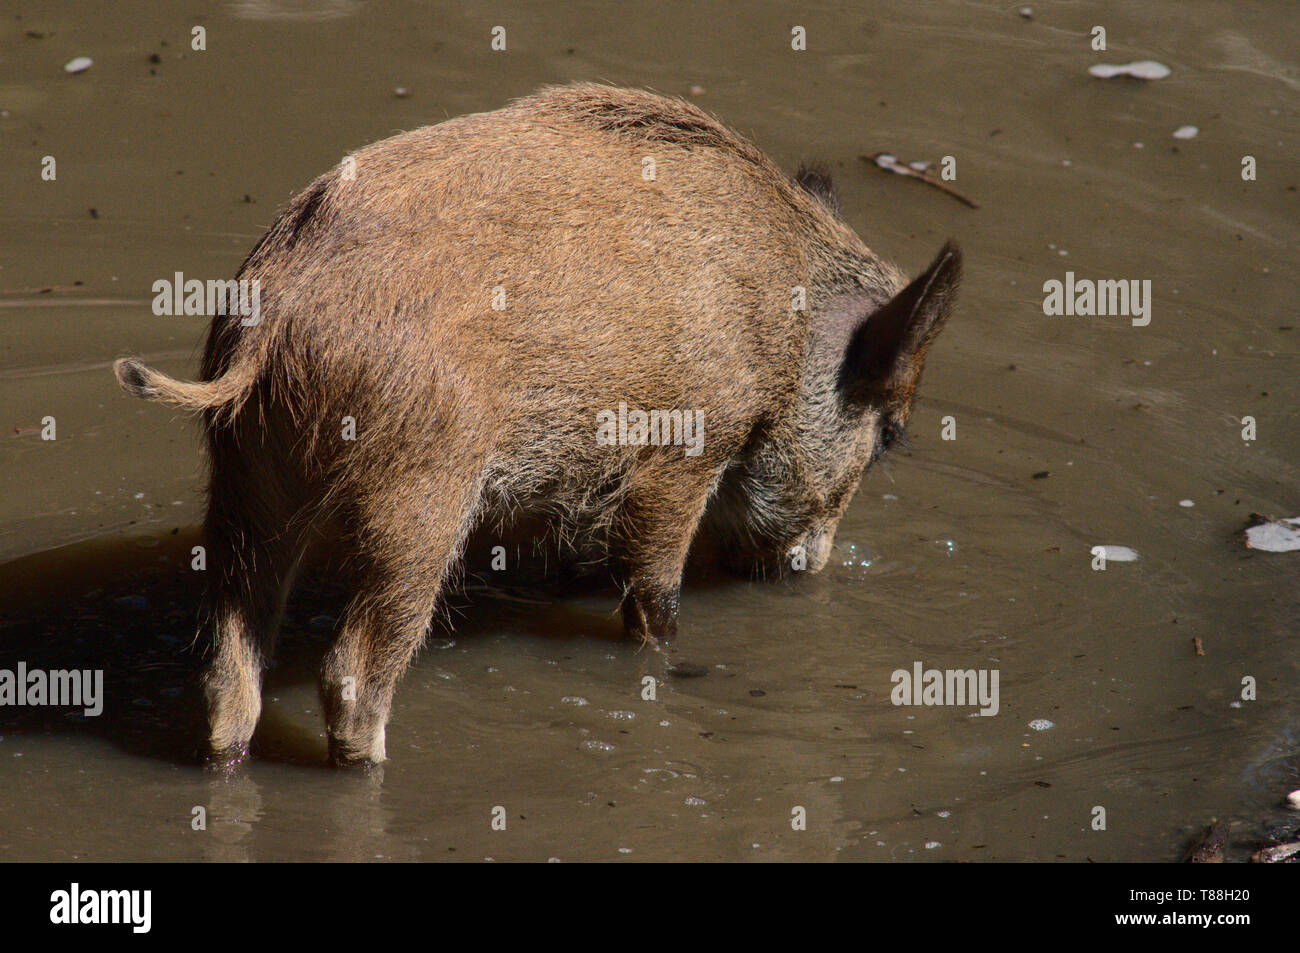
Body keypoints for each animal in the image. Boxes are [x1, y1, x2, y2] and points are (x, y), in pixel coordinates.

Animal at [114, 83, 960, 768]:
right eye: (888, 434)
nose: (808, 572)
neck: (783, 336)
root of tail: (270, 317)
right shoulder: (681, 454)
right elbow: (656, 592)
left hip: (245, 485)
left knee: (230, 669)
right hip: (419, 496)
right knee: (350, 673)